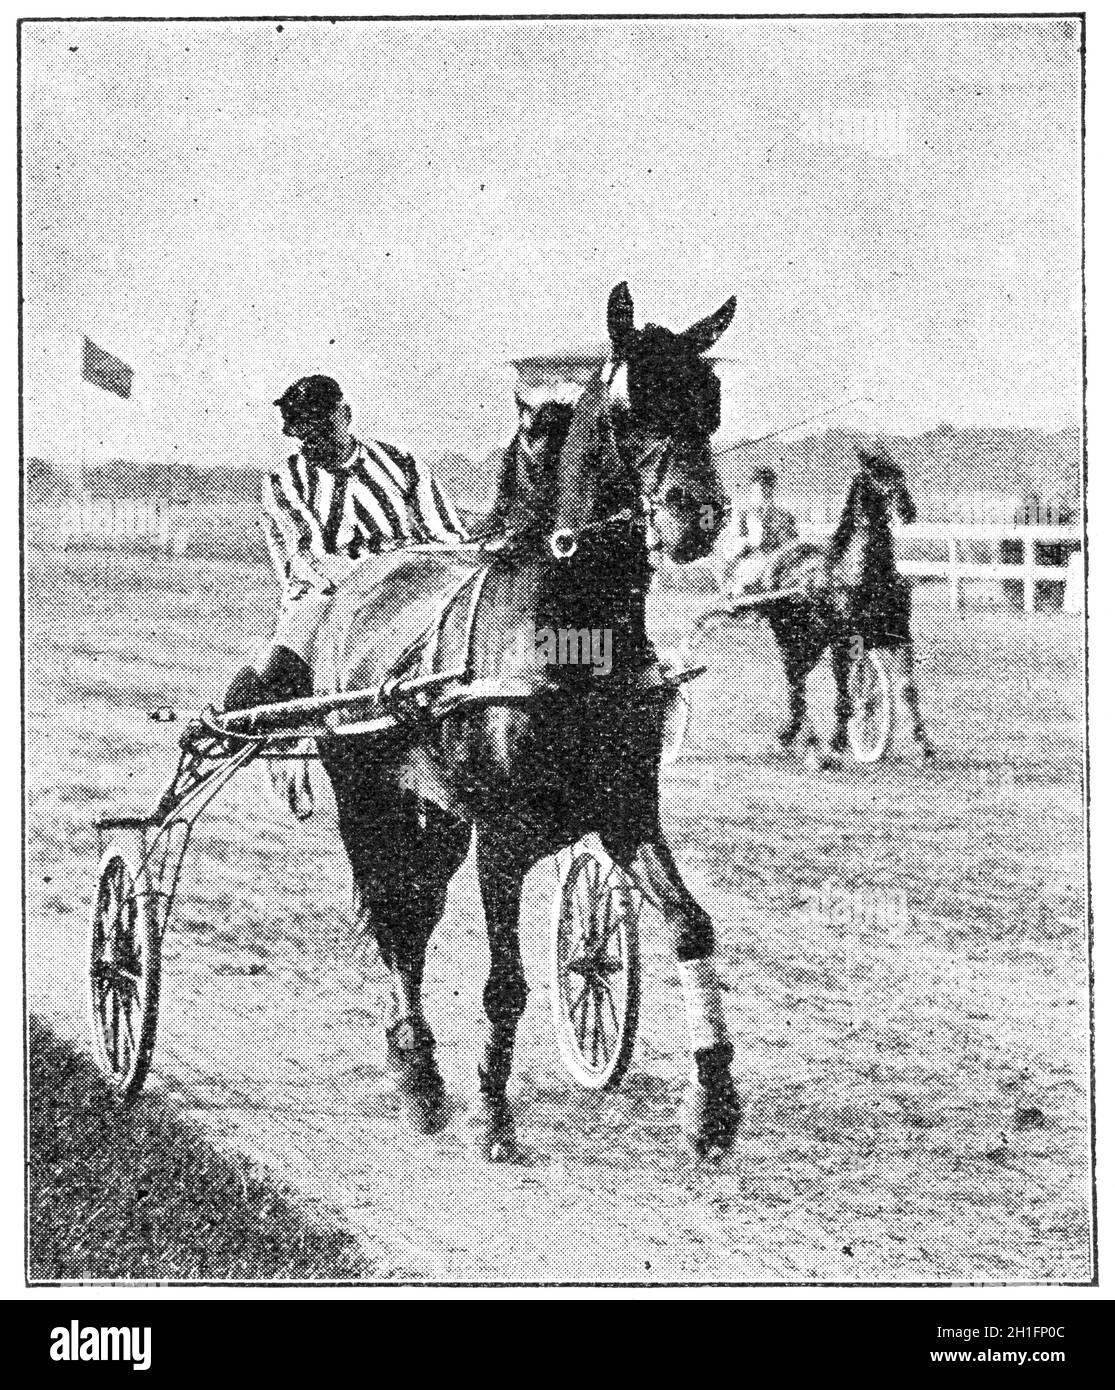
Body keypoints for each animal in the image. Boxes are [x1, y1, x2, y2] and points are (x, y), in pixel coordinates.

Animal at [312, 282, 742, 1160]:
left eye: (710, 398)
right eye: (628, 404)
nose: (696, 516)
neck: (572, 637)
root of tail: (356, 586)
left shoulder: (626, 814)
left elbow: (692, 929)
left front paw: (712, 1104)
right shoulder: (502, 838)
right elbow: (504, 985)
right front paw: (494, 1115)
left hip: (436, 816)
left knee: (414, 916)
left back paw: (416, 1067)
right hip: (364, 798)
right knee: (395, 919)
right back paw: (419, 1075)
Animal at [724, 448, 935, 768]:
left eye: (898, 471)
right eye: (876, 473)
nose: (907, 509)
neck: (867, 576)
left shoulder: (898, 636)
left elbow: (905, 689)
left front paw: (925, 747)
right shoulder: (842, 641)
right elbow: (845, 695)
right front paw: (837, 743)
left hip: (813, 642)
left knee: (799, 678)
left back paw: (792, 733)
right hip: (791, 637)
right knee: (796, 679)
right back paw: (807, 742)